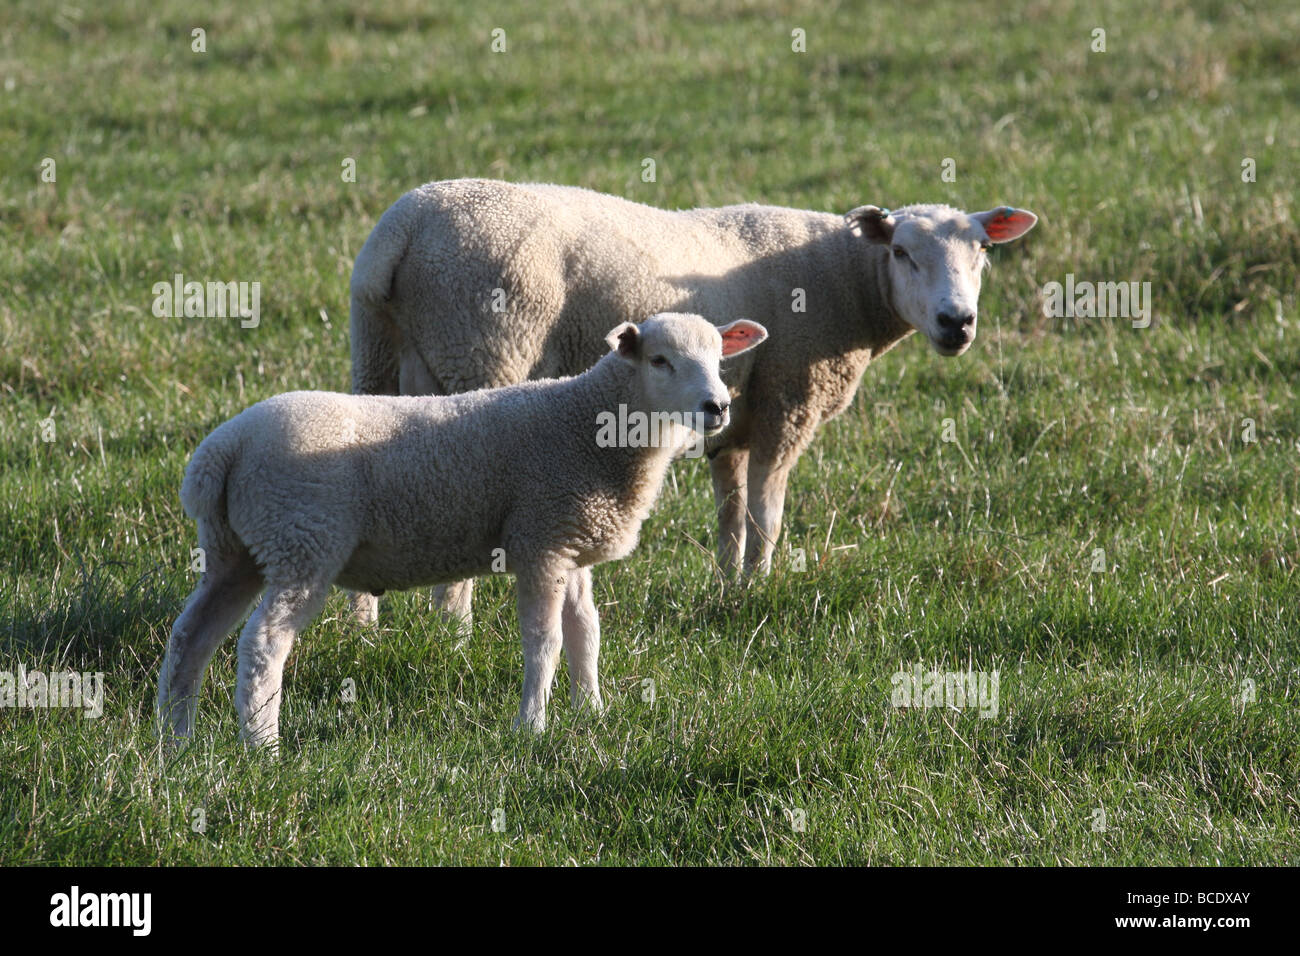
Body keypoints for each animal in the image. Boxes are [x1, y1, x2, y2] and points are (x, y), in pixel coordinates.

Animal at [156, 312, 769, 747]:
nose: (717, 406)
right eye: (661, 360)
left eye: (720, 357)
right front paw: (532, 728)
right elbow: (544, 641)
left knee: (191, 637)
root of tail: (222, 449)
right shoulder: (542, 541)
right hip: (302, 539)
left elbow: (585, 634)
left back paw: (176, 741)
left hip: (237, 551)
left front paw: (592, 713)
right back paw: (263, 746)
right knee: (262, 644)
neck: (591, 426)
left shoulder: (568, 540)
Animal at [348, 179, 1038, 625]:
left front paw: (729, 587)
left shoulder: (733, 416)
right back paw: (453, 626)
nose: (957, 323)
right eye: (901, 252)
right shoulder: (789, 398)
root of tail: (401, 230)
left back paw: (363, 626)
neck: (847, 278)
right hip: (484, 345)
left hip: (379, 358)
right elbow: (767, 513)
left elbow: (730, 513)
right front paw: (760, 588)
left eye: (982, 251)